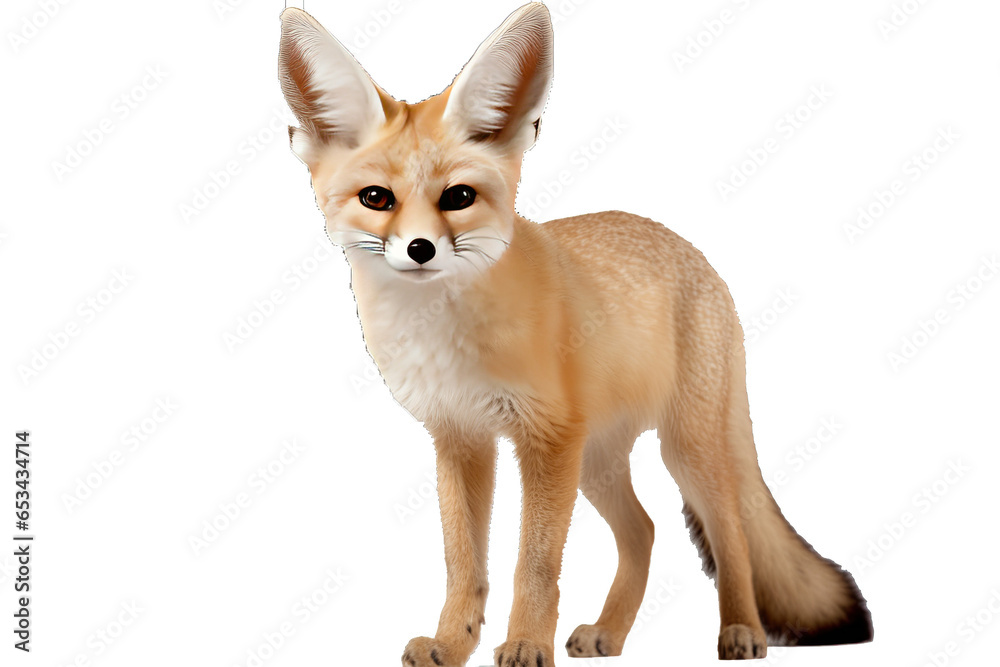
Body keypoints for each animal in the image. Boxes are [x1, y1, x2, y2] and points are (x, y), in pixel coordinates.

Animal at [277, 2, 873, 664]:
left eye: (458, 197)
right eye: (376, 198)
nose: (420, 249)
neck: (446, 341)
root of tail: (692, 252)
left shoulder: (546, 439)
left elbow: (535, 564)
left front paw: (525, 644)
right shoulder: (460, 438)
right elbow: (464, 563)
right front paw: (452, 643)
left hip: (681, 449)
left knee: (731, 535)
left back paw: (741, 630)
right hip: (595, 463)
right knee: (645, 530)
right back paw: (610, 632)